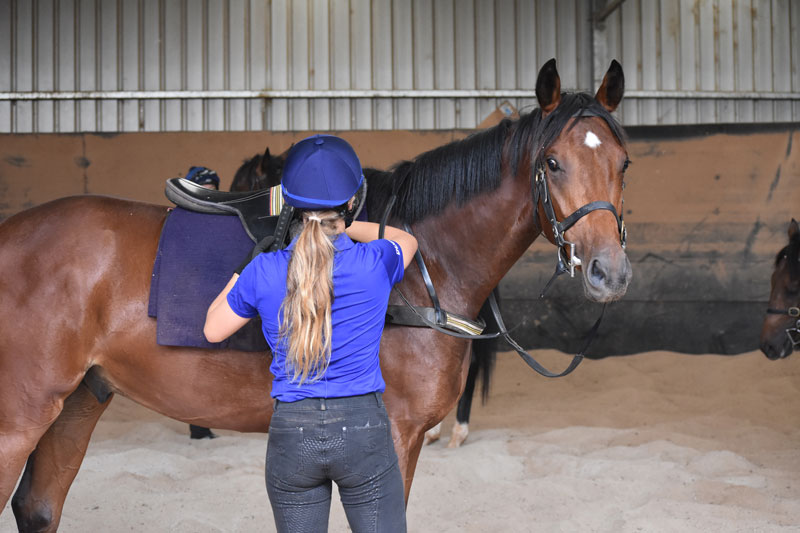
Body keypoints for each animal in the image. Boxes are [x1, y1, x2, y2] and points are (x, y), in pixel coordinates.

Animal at [1, 58, 631, 531]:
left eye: (623, 163)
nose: (610, 272)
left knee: (38, 508)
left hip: (79, 402)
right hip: (20, 420)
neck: (421, 264)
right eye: (553, 162)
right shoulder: (389, 438)